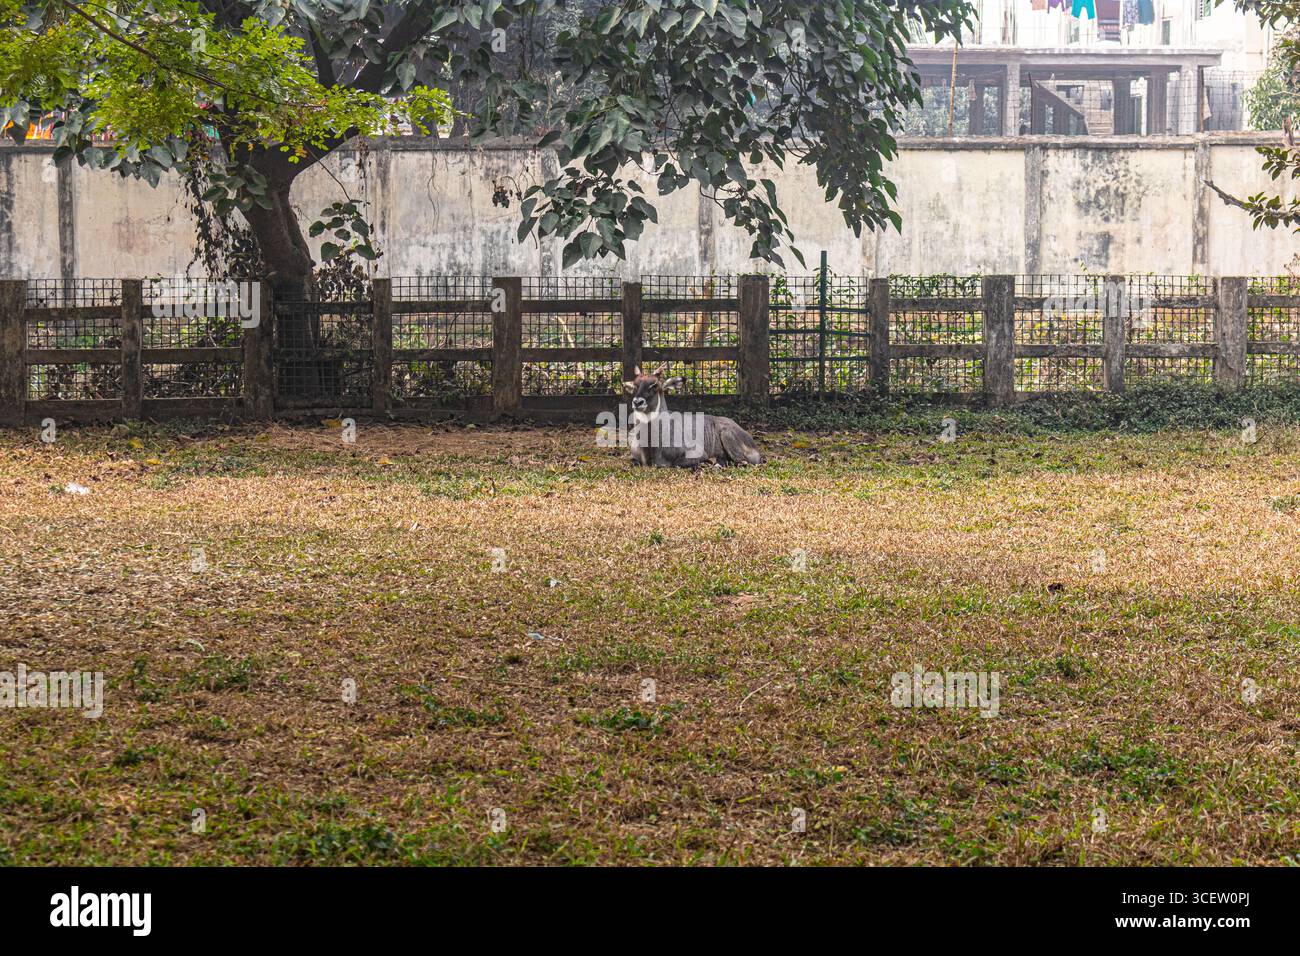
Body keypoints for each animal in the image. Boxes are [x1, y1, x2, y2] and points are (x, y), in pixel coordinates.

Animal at [621, 366, 763, 468]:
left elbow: (676, 463)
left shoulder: (698, 453)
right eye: (635, 385)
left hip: (728, 436)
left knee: (741, 462)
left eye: (655, 385)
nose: (637, 402)